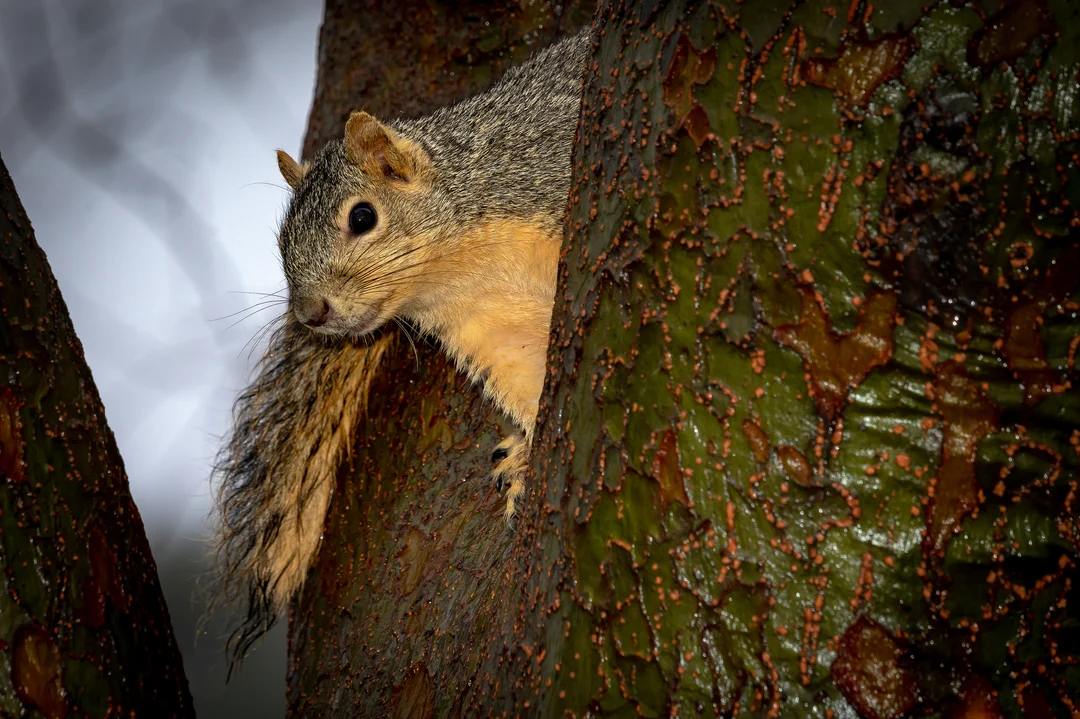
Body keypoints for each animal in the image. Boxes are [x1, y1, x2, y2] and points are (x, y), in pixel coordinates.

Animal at [213, 28, 590, 664]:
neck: (463, 266)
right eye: (282, 241)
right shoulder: (491, 324)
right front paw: (526, 454)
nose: (310, 314)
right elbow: (531, 378)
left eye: (363, 217)